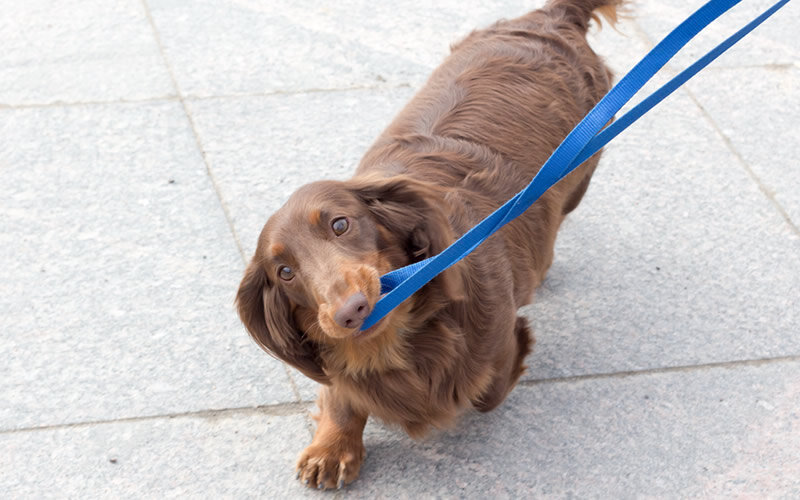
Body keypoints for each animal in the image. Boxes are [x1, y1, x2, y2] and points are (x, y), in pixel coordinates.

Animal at [234, 0, 620, 490]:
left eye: (340, 224)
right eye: (284, 272)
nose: (349, 312)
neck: (397, 339)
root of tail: (553, 18)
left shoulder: (495, 337)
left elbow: (486, 389)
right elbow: (342, 392)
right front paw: (333, 447)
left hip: (582, 167)